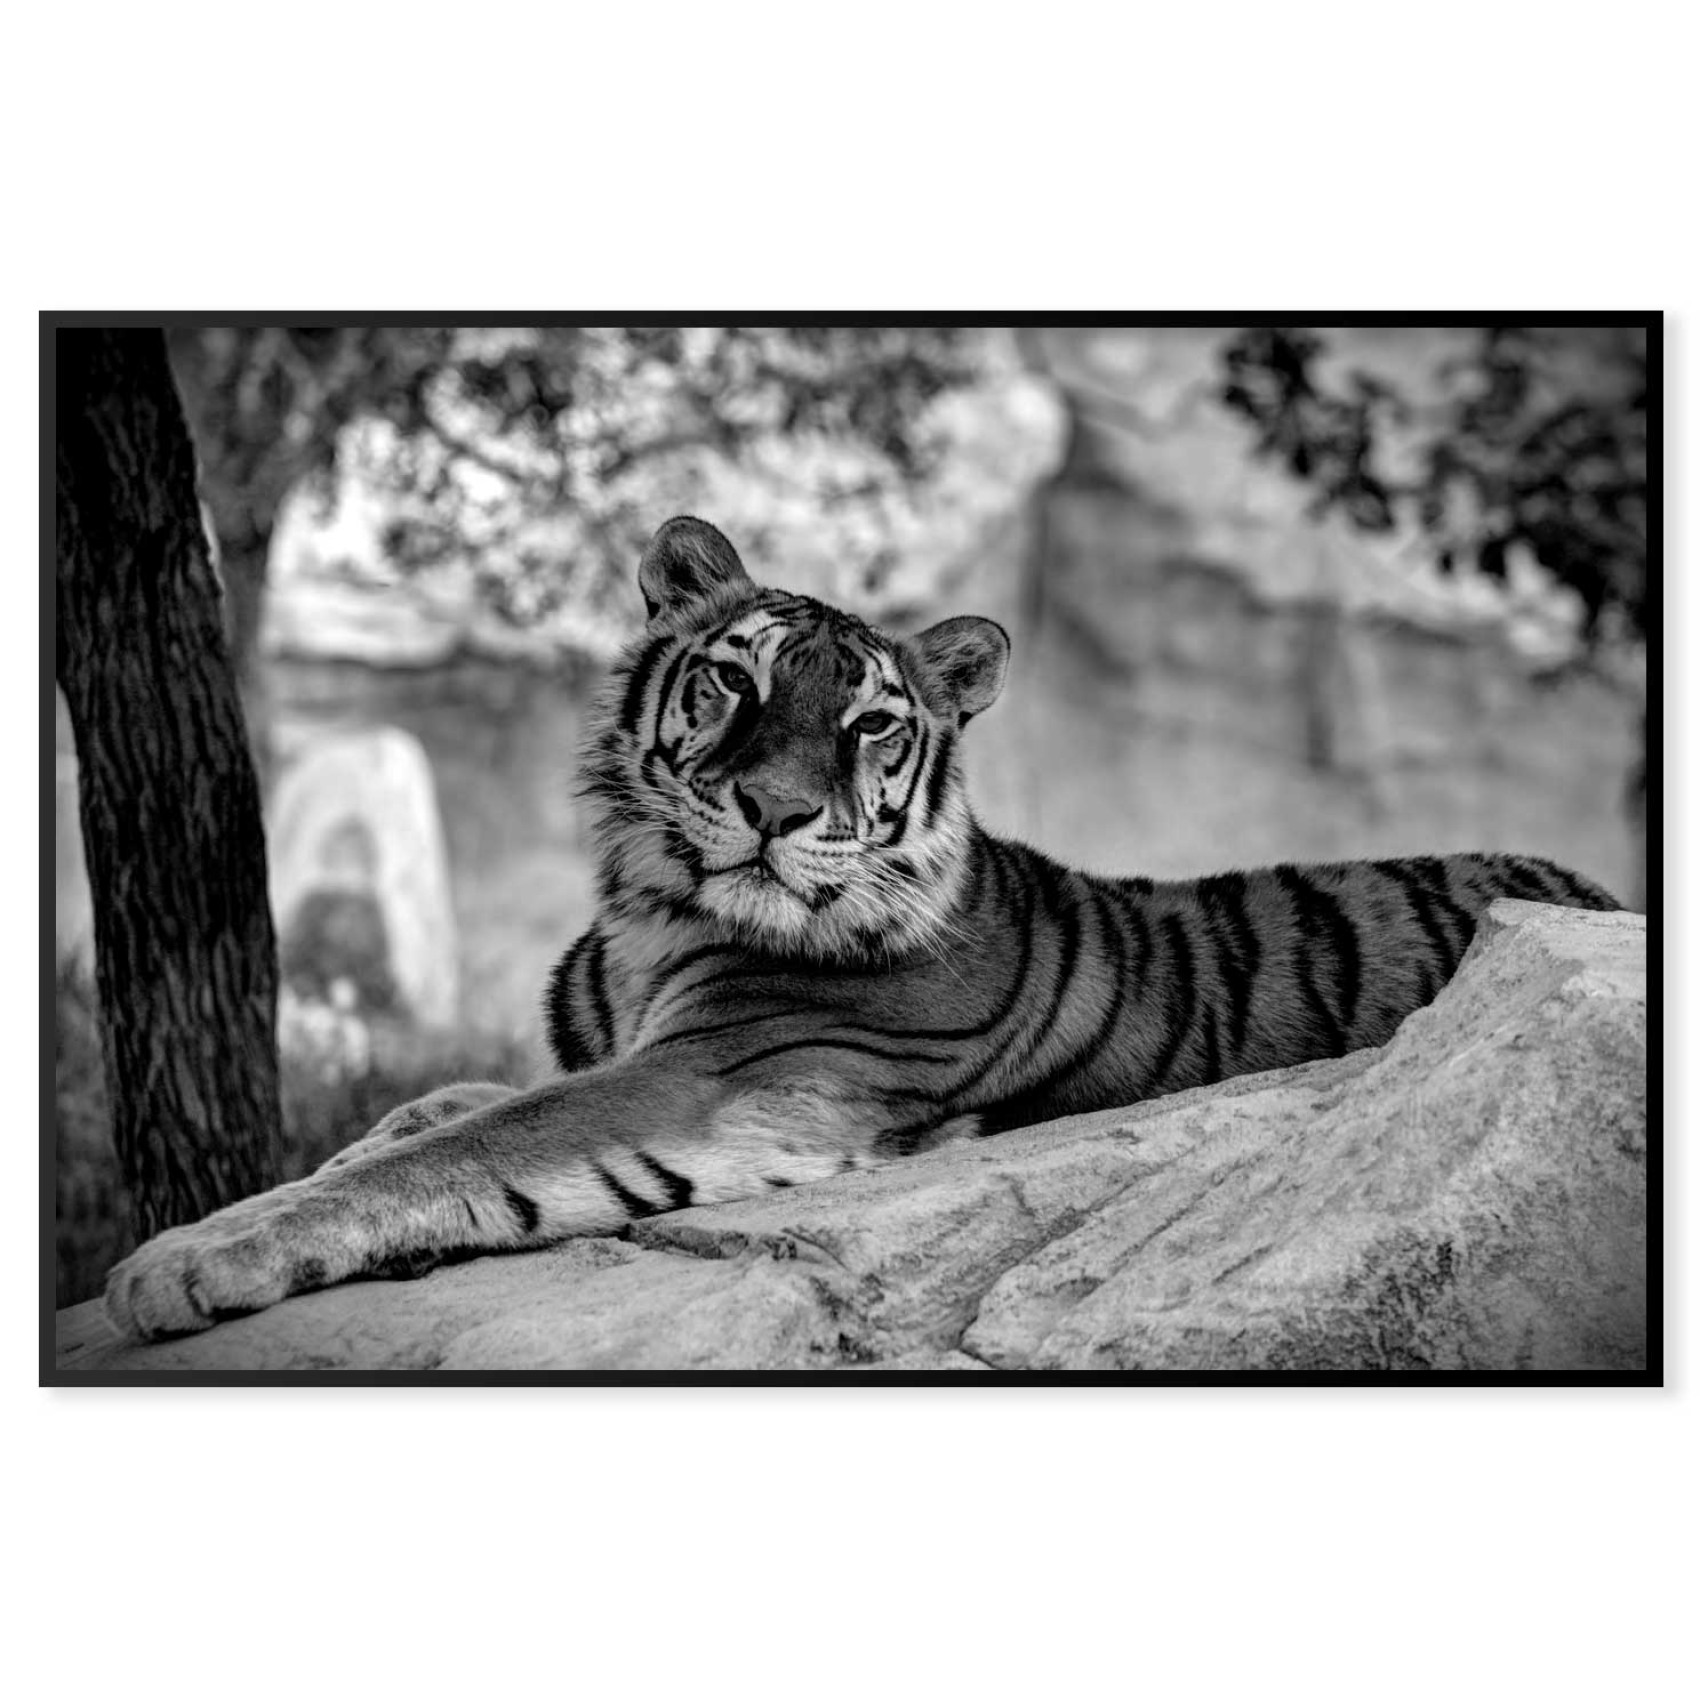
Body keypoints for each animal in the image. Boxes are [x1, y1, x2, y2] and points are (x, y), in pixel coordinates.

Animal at [103, 514, 1623, 1341]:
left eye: (871, 725)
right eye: (735, 683)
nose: (774, 810)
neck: (643, 907)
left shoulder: (709, 1075)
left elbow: (464, 1146)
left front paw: (180, 1260)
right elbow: (419, 1116)